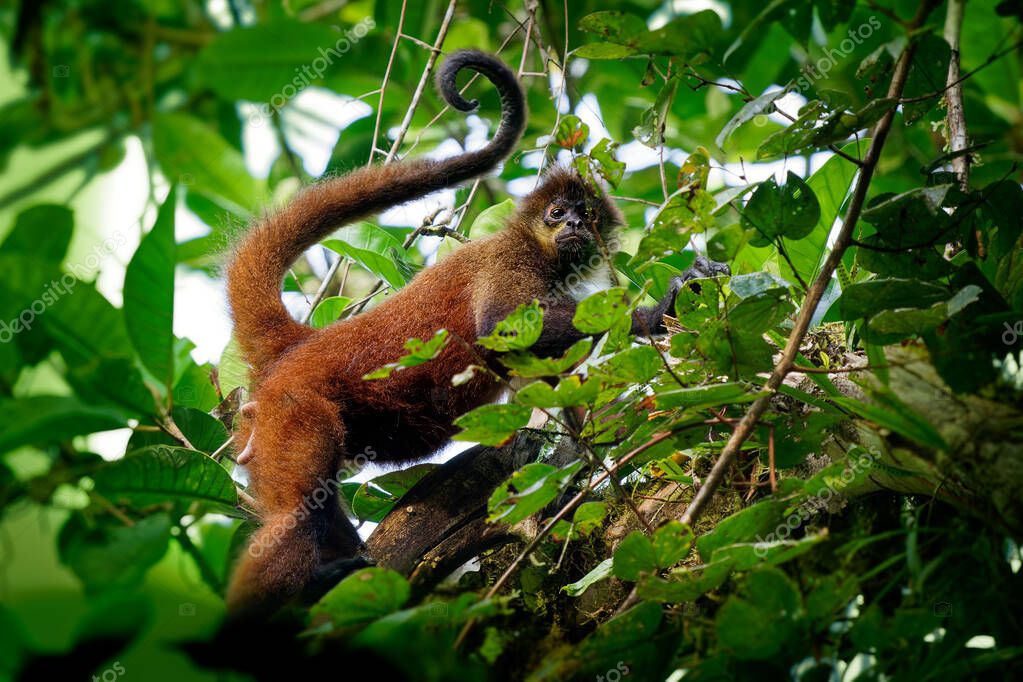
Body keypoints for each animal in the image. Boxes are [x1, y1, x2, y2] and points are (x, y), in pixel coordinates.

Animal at [223, 49, 725, 617]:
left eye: (588, 214)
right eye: (557, 213)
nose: (574, 225)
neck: (540, 252)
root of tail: (301, 345)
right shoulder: (508, 261)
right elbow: (500, 332)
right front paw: (662, 308)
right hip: (294, 411)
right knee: (296, 515)